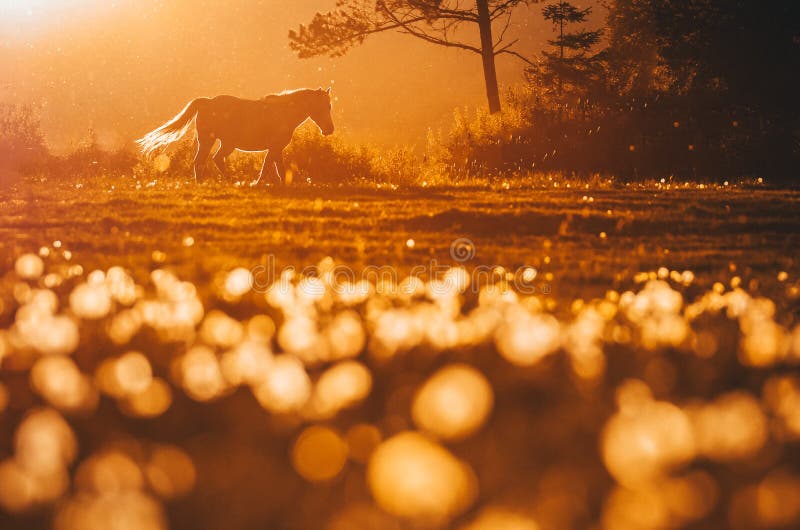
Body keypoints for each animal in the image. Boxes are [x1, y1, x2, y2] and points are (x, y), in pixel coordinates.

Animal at [136, 87, 334, 184]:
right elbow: (269, 166)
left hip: (213, 142)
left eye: (329, 106)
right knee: (211, 159)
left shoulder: (276, 149)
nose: (330, 129)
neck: (284, 113)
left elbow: (276, 167)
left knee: (202, 161)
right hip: (219, 142)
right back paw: (228, 180)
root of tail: (207, 102)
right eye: (323, 106)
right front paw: (258, 183)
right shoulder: (274, 147)